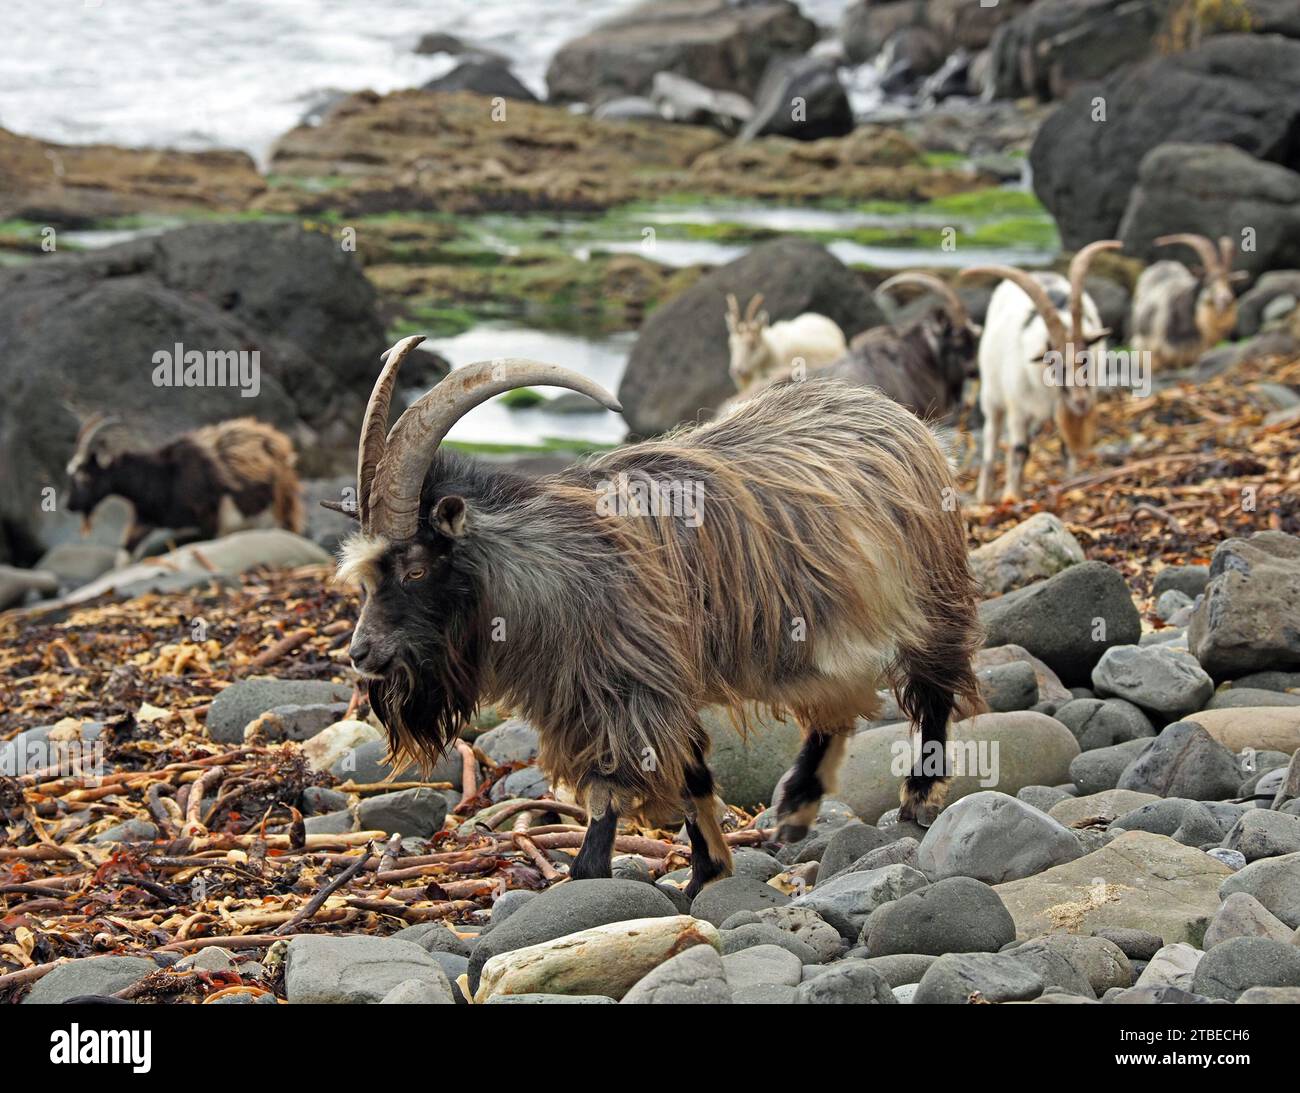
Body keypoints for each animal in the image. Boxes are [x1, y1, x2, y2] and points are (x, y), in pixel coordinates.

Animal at [66, 415, 304, 547]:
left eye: (84, 476)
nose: (69, 506)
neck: (161, 477)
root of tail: (277, 444)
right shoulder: (145, 520)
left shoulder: (209, 518)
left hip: (280, 505)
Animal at [332, 336, 981, 897]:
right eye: (368, 577)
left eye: (417, 569)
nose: (361, 654)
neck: (544, 566)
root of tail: (899, 416)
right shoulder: (643, 684)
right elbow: (692, 772)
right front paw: (707, 872)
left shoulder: (629, 687)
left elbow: (615, 795)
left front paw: (597, 877)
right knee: (835, 706)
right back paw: (797, 808)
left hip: (930, 595)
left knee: (933, 684)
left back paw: (919, 797)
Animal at [961, 240, 1119, 504]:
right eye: (1055, 363)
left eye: (1085, 359)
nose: (1081, 402)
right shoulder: (1018, 406)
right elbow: (1018, 449)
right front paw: (1012, 497)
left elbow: (1066, 448)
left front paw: (1069, 484)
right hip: (992, 395)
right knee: (992, 435)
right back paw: (984, 495)